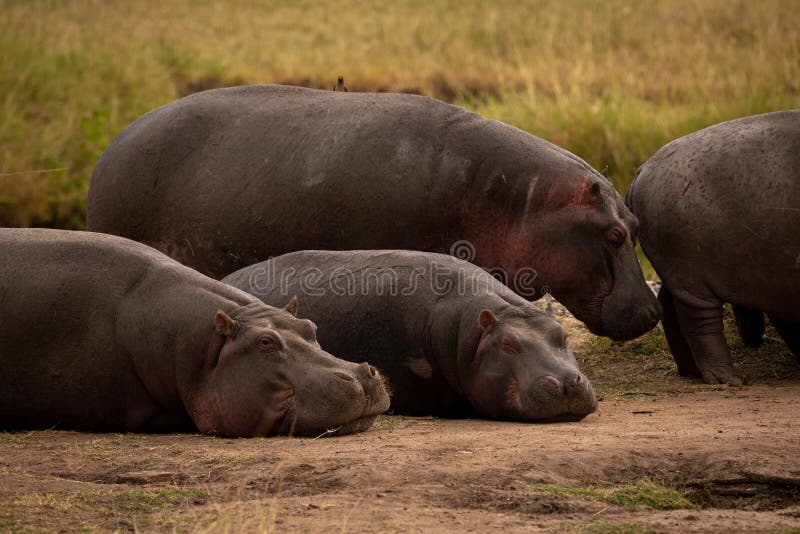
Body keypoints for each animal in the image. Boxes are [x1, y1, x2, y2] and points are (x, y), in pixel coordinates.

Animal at [626, 110, 800, 385]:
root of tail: (642, 169)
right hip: (693, 279)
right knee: (700, 323)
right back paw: (729, 378)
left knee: (669, 307)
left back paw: (692, 371)